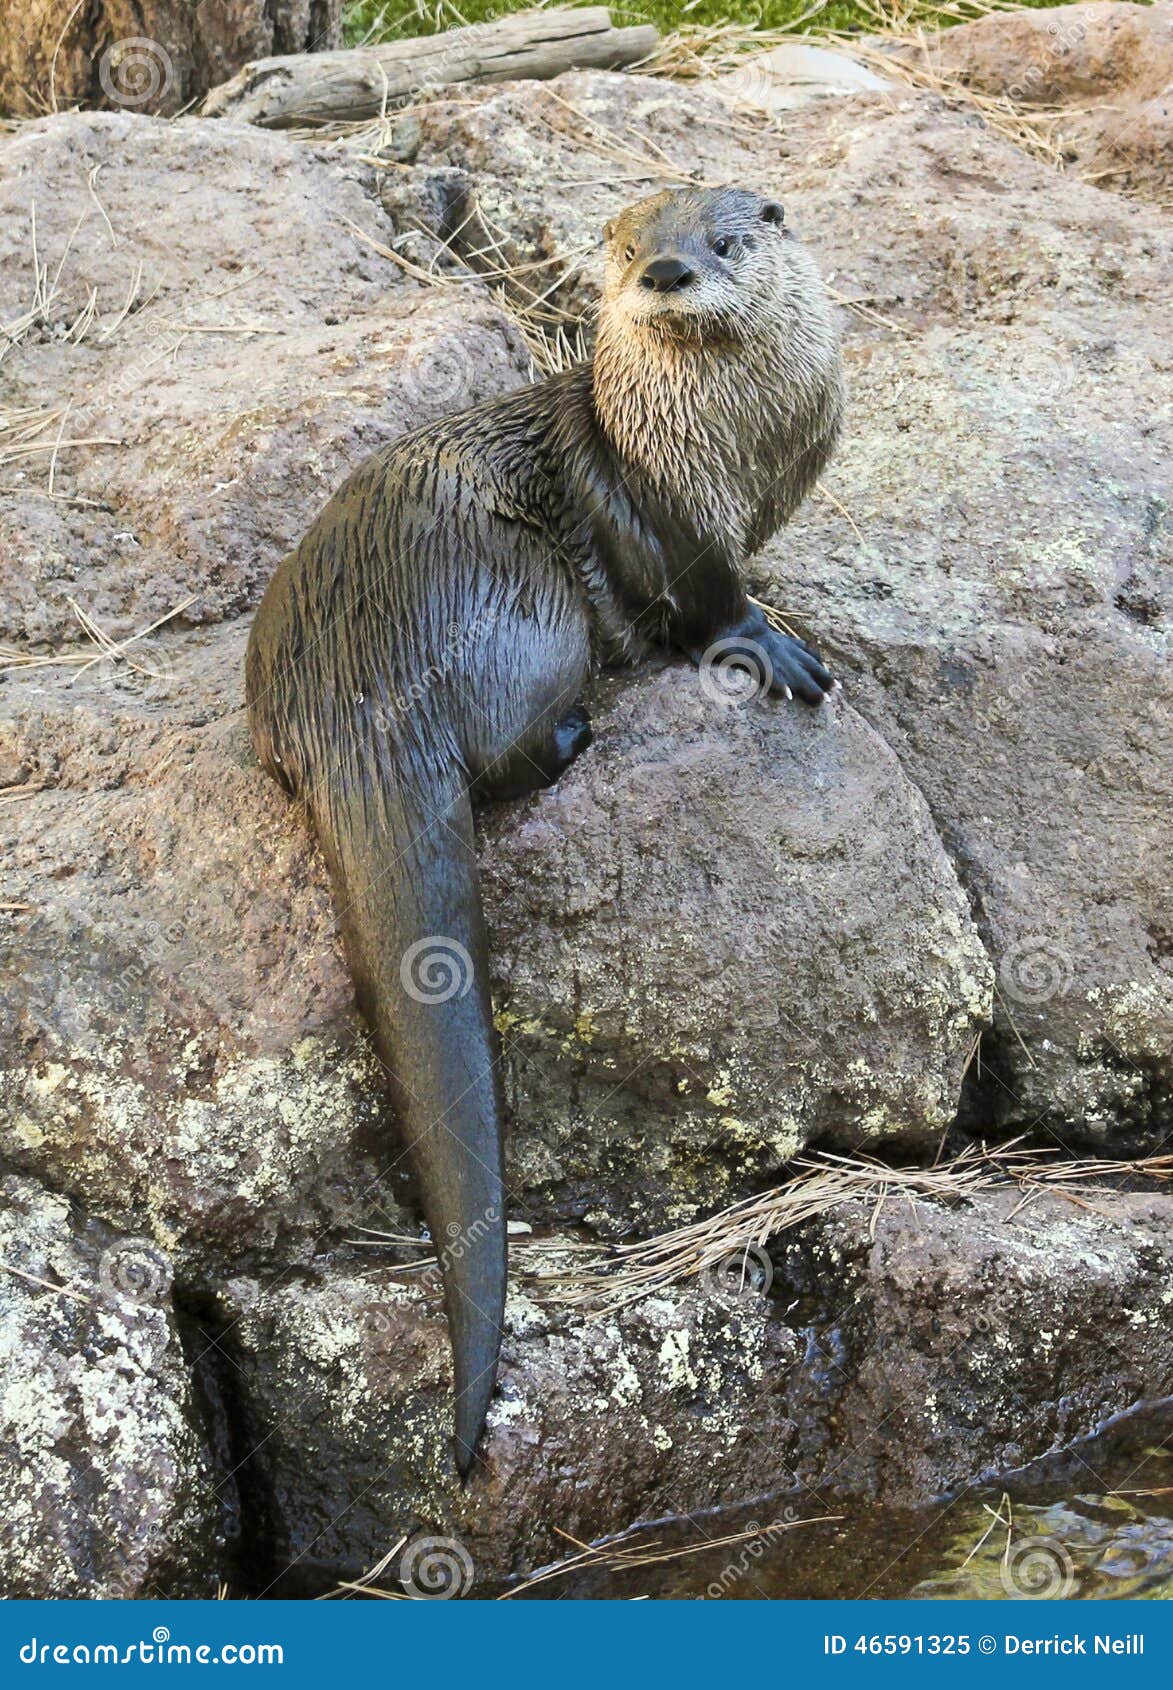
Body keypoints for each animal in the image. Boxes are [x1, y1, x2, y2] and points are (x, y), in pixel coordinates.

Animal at [245, 186, 843, 1473]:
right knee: (511, 750)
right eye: (625, 248)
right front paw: (770, 644)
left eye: (727, 238)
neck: (743, 445)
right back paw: (576, 731)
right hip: (526, 599)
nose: (664, 271)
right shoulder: (678, 522)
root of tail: (354, 696)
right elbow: (714, 603)